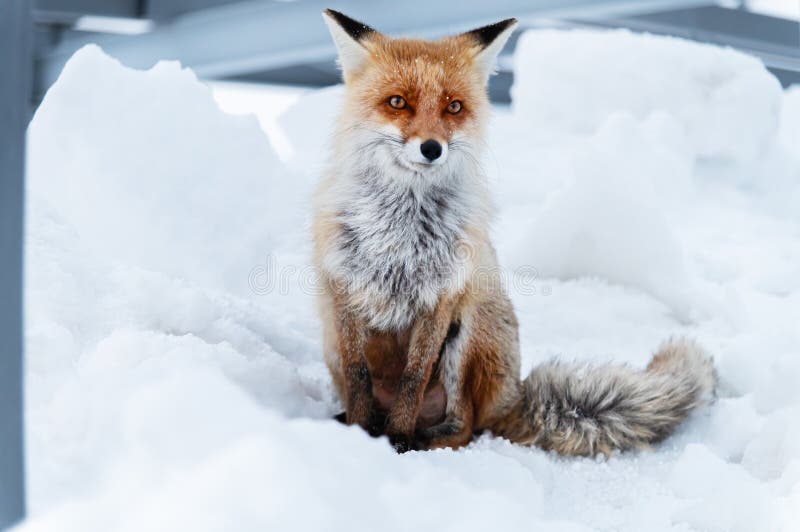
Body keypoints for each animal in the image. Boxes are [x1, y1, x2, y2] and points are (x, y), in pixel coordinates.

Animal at [313, 9, 716, 453]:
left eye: (454, 107)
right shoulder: (344, 290)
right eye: (398, 102)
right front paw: (359, 433)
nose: (432, 148)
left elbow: (414, 377)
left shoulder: (442, 298)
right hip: (330, 339)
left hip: (469, 329)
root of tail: (513, 398)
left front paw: (396, 439)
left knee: (466, 426)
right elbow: (359, 375)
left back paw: (420, 437)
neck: (399, 231)